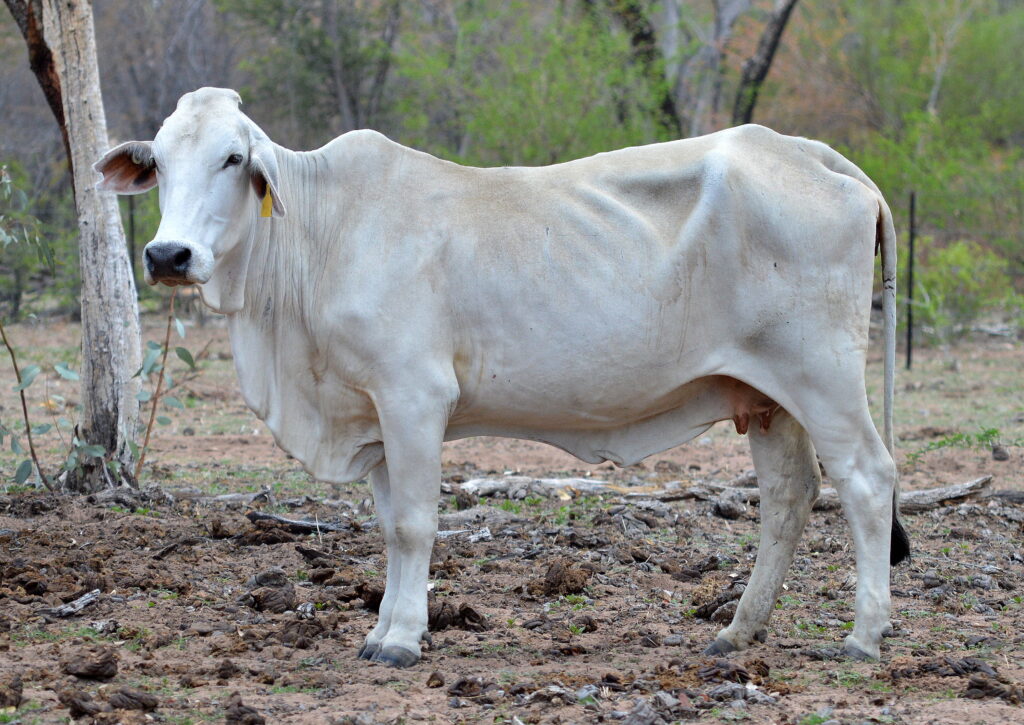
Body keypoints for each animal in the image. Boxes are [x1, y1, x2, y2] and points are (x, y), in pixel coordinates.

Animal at [95, 87, 909, 668]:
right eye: (159, 161)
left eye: (234, 158)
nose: (168, 255)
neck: (321, 235)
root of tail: (810, 154)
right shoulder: (377, 413)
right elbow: (389, 524)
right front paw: (382, 629)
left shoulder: (414, 395)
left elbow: (416, 522)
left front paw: (402, 640)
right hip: (768, 396)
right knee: (789, 497)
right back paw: (737, 631)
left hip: (823, 375)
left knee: (868, 480)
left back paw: (863, 636)